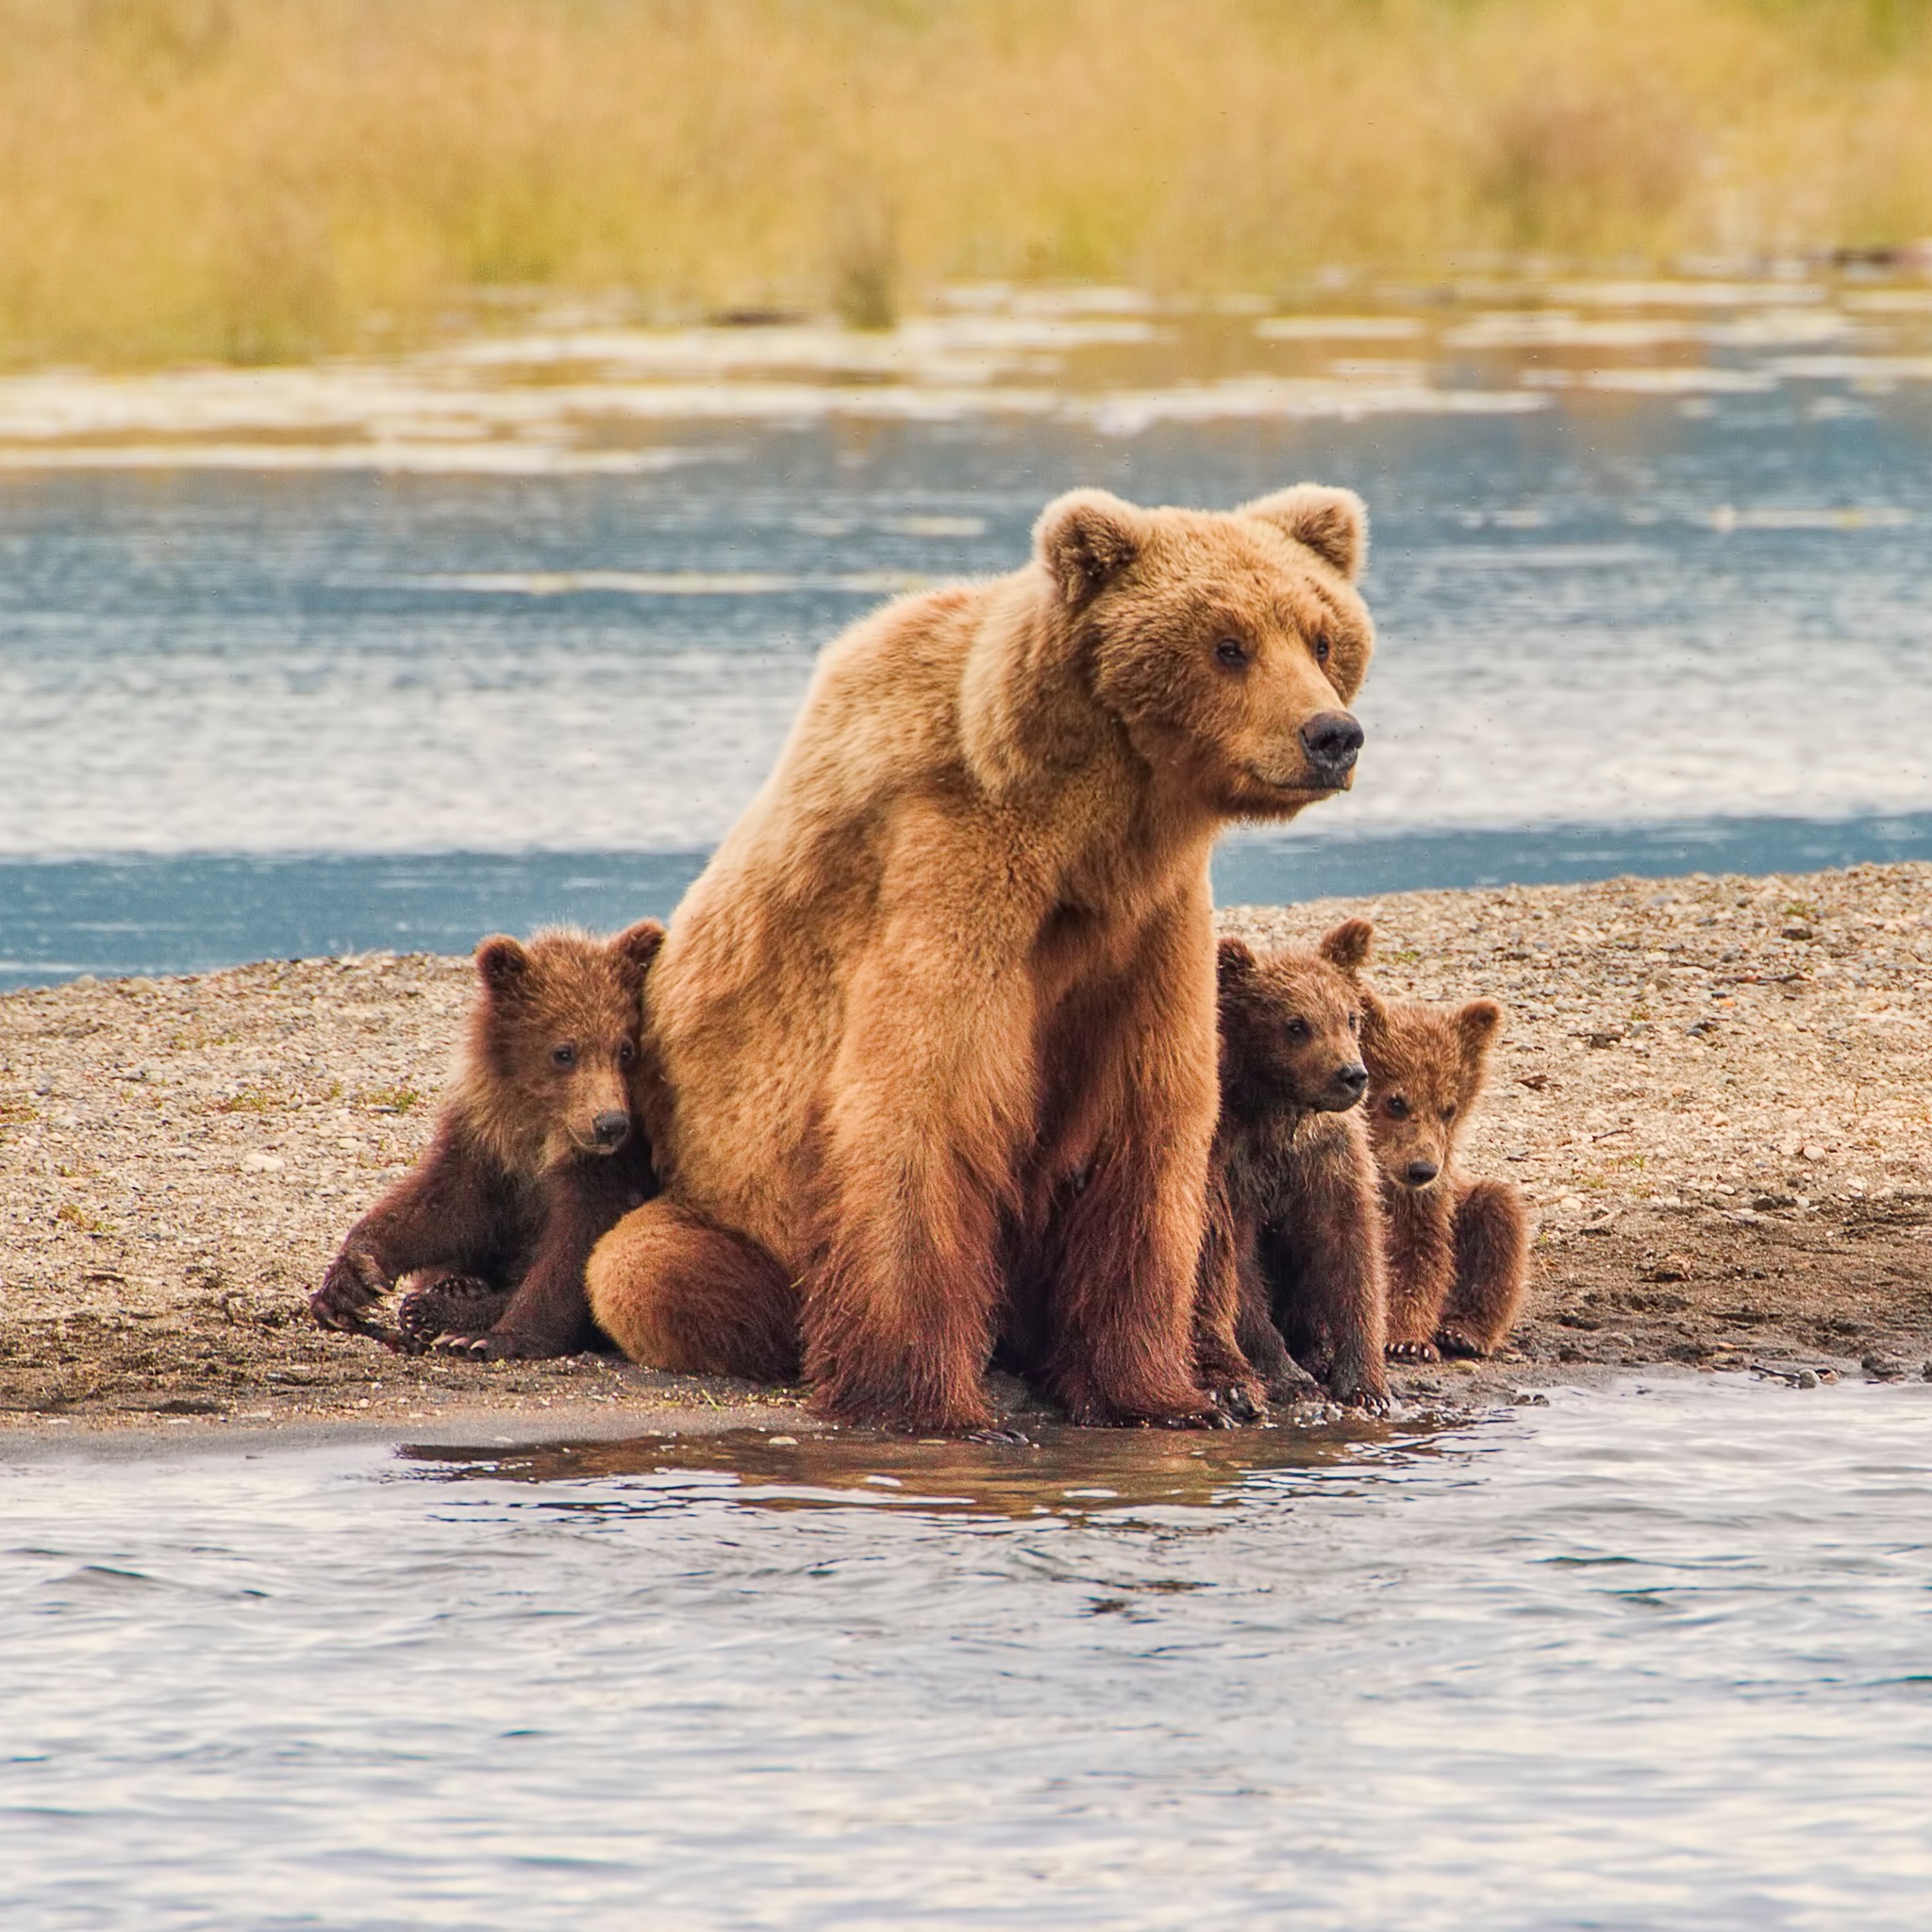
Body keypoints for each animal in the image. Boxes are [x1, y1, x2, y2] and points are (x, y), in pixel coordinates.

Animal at [310, 921, 666, 1360]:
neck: (540, 1133)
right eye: (563, 1052)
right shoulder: (484, 1140)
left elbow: (576, 1249)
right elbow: (445, 1206)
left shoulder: (607, 1170)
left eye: (624, 1049)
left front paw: (498, 1335)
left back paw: (447, 1309)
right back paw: (455, 1287)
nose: (610, 1123)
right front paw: (349, 1282)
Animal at [1194, 921, 1389, 1413]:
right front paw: (1288, 1376)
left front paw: (1365, 1384)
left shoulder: (1328, 1159)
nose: (1351, 1074)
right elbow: (1239, 1266)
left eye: (1350, 1017)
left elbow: (1351, 1252)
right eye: (1296, 1025)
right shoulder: (1234, 1164)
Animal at [1357, 987, 1531, 1361]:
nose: (1421, 1169)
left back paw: (1462, 1332)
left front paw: (1405, 1339)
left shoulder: (1428, 1203)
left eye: (1448, 1108)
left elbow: (1420, 1259)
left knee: (1498, 1216)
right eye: (1396, 1101)